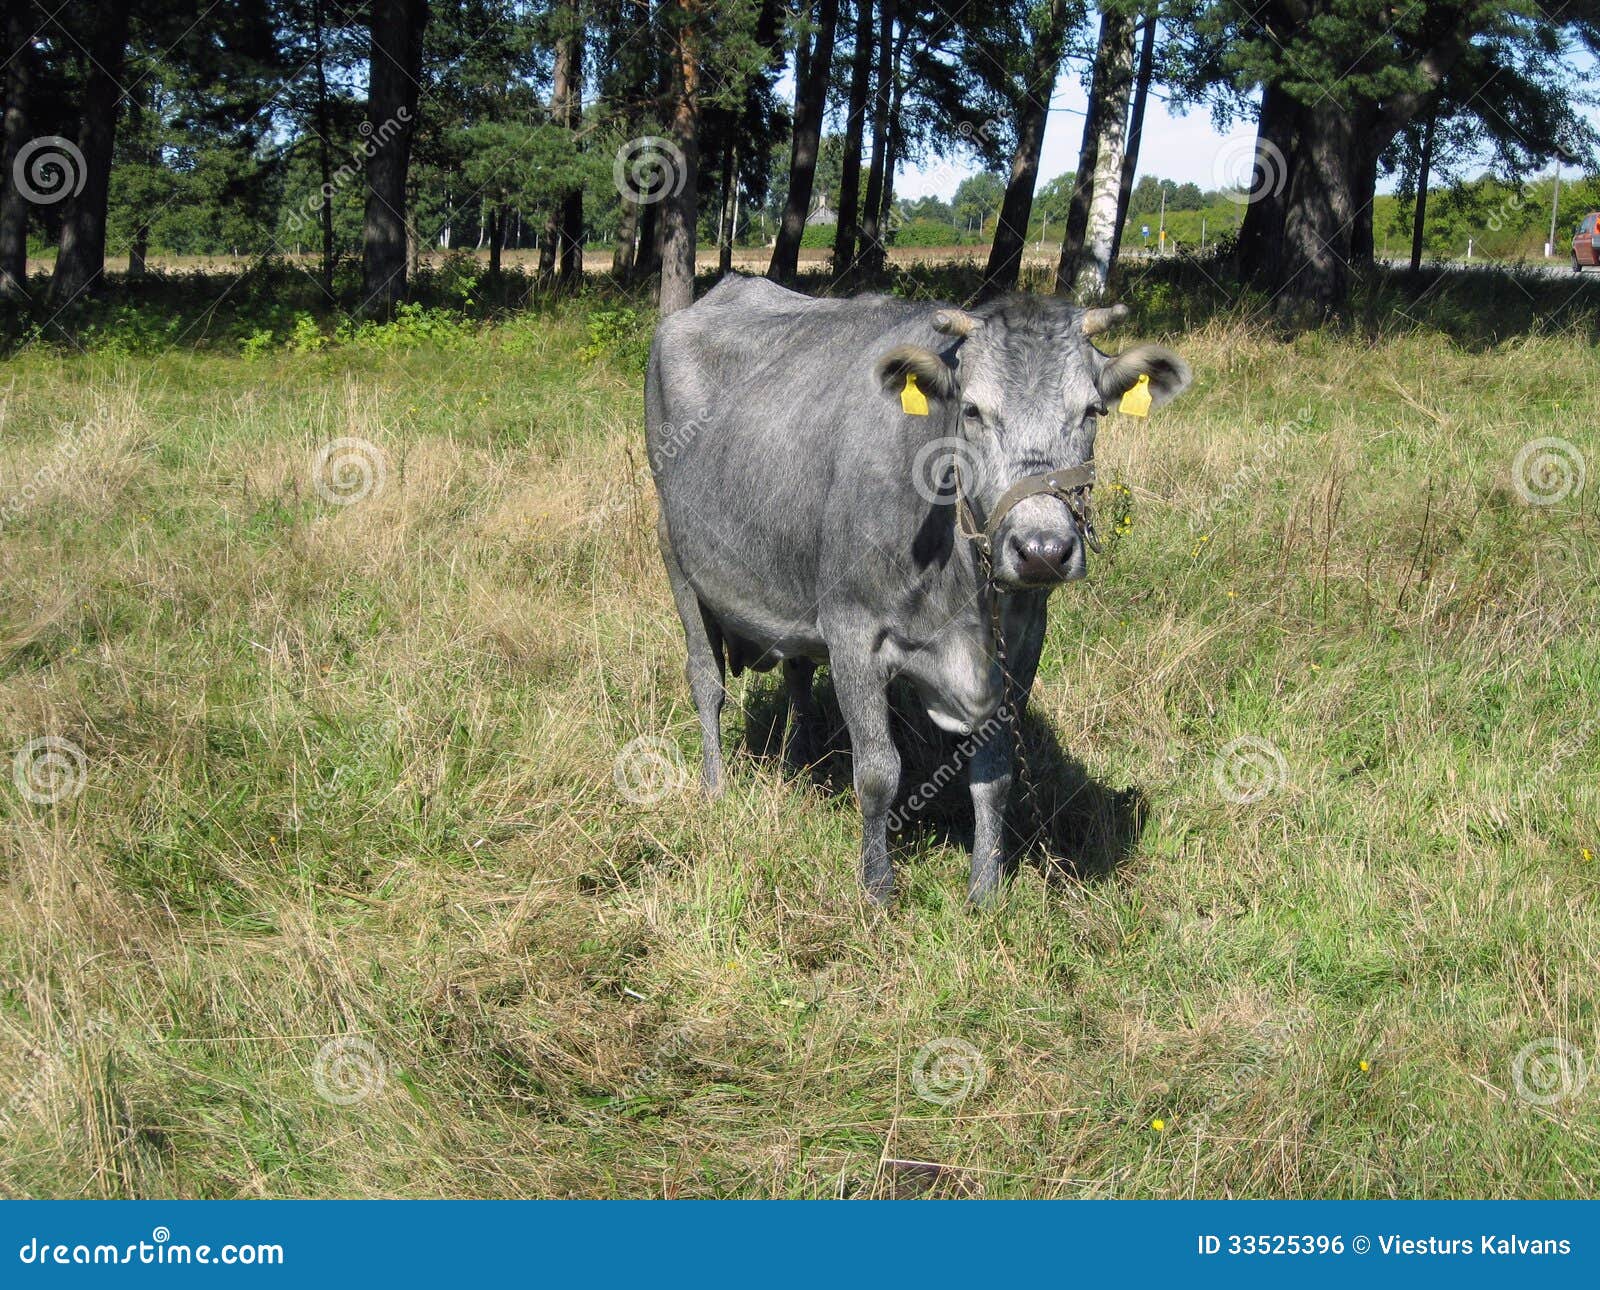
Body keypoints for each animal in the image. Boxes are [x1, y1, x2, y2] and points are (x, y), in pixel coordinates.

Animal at [645, 276, 1191, 904]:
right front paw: (877, 889)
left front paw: (985, 889)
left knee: (797, 674)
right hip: (676, 556)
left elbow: (994, 774)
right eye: (972, 410)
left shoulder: (1023, 641)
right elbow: (878, 772)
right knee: (706, 682)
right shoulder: (853, 630)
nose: (1041, 551)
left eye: (1092, 411)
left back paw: (800, 759)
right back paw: (715, 788)